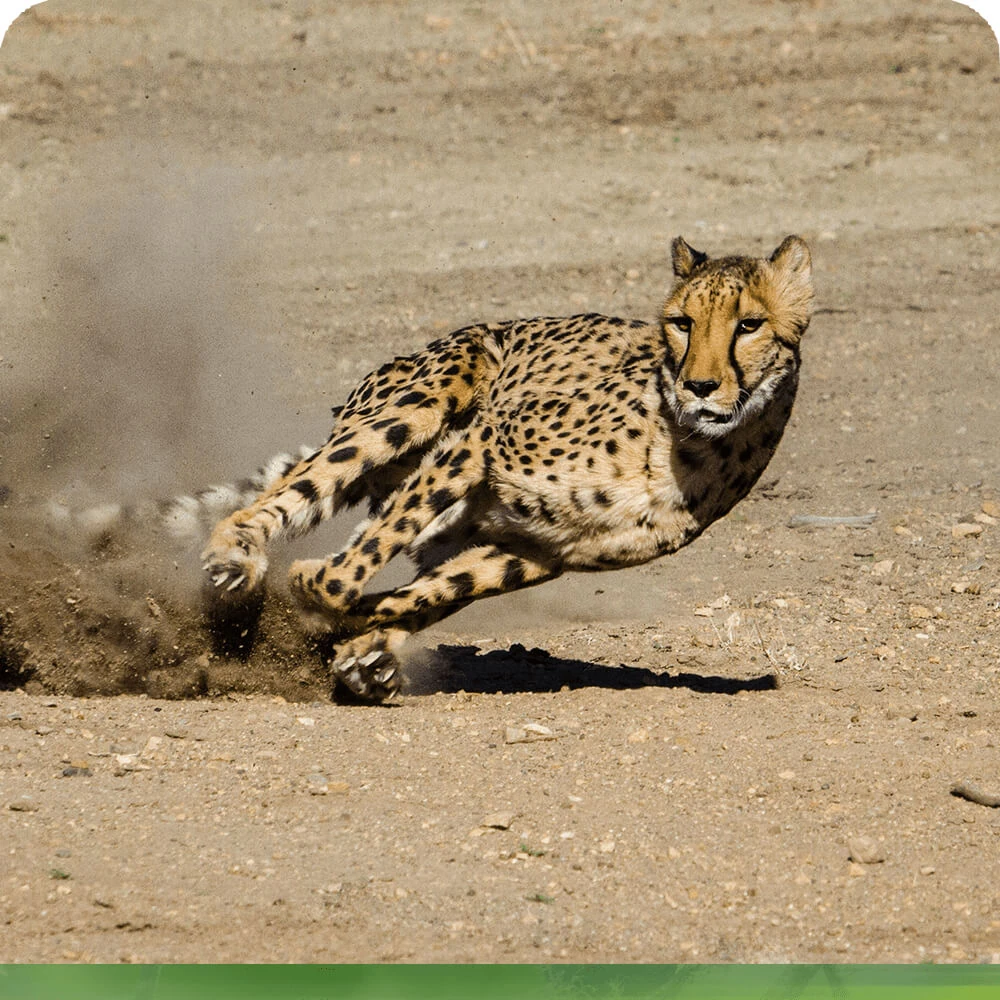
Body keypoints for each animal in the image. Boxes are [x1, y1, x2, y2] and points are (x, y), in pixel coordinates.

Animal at [201, 235, 814, 702]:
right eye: (683, 323)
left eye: (749, 325)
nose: (699, 385)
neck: (692, 443)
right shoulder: (484, 441)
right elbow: (346, 578)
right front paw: (307, 592)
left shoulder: (539, 551)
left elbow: (421, 595)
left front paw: (349, 636)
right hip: (422, 402)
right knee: (300, 489)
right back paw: (235, 556)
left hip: (458, 522)